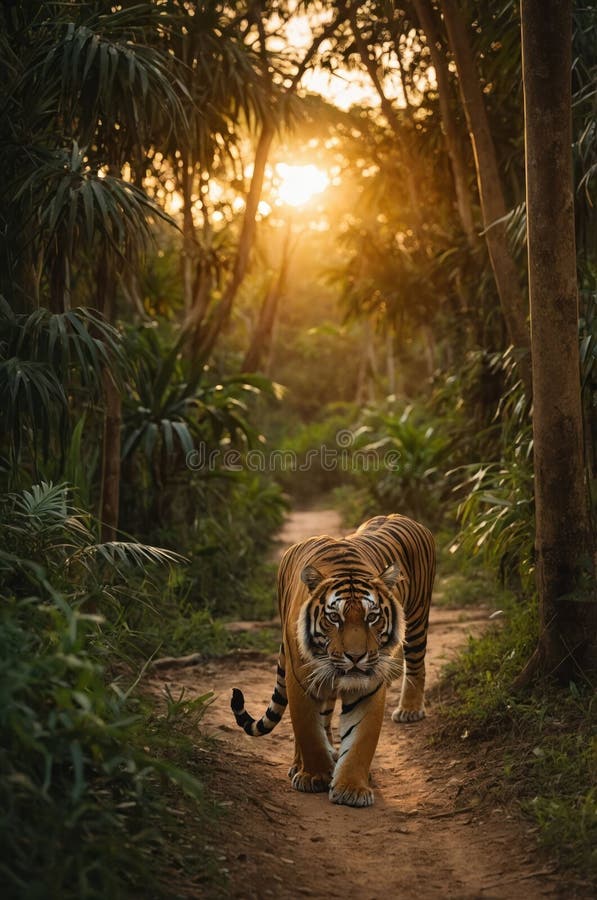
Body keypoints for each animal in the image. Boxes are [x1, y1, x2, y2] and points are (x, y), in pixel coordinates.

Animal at [231, 513, 435, 808]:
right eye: (334, 618)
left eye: (372, 617)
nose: (356, 656)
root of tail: (401, 516)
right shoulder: (301, 680)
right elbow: (308, 730)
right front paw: (315, 775)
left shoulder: (368, 685)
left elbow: (361, 738)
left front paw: (351, 787)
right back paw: (303, 764)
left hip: (418, 618)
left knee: (417, 666)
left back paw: (409, 711)